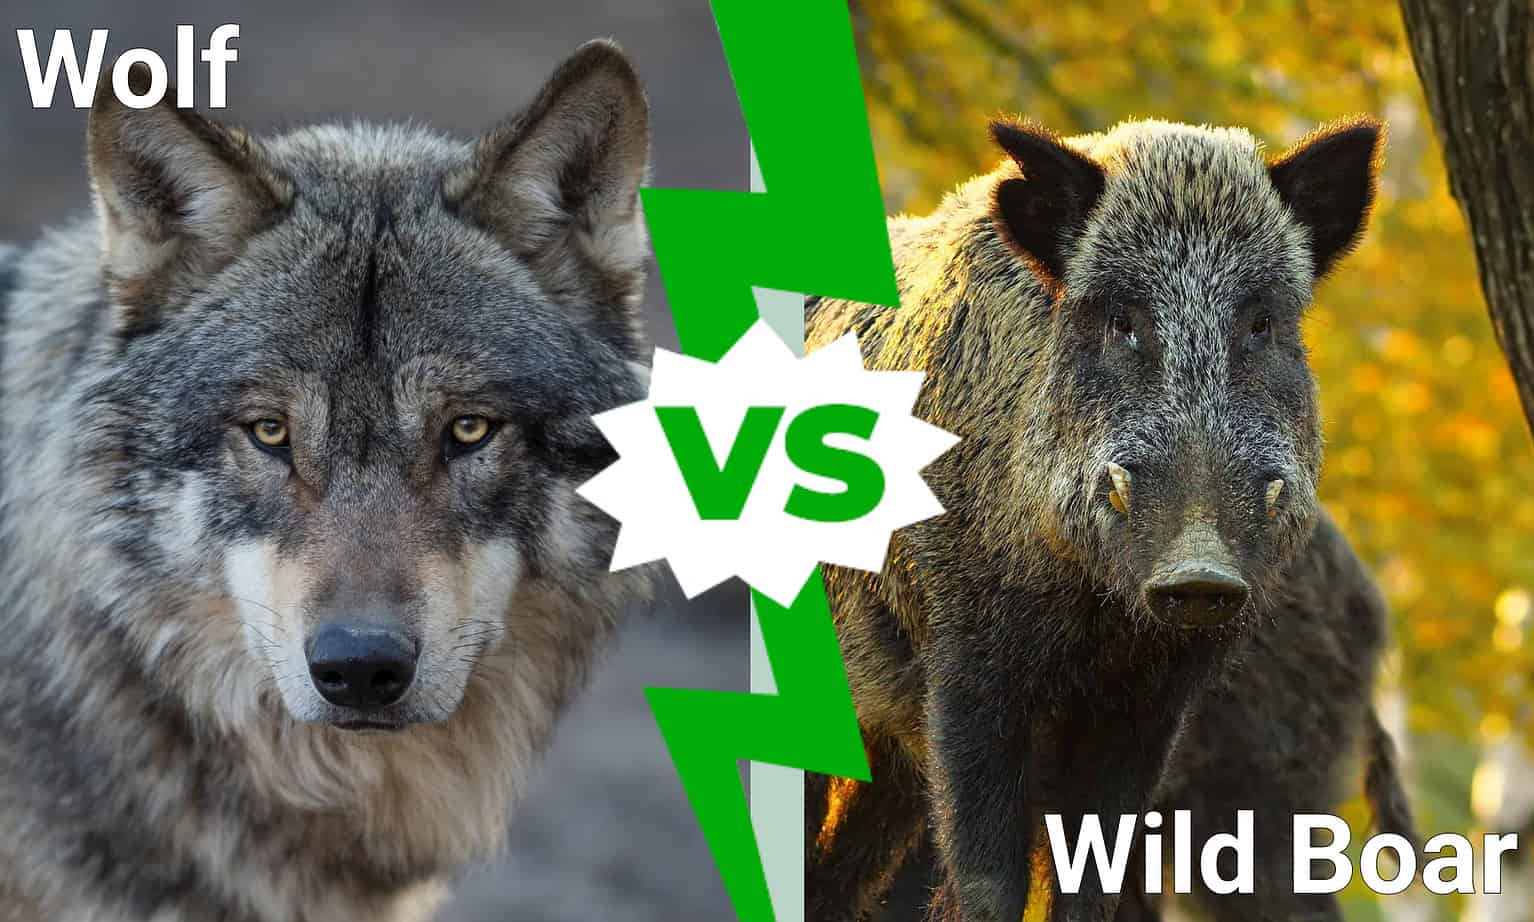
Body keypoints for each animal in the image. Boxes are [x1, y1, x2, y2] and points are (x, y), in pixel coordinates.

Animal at [803, 117, 1413, 922]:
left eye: (1262, 323)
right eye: (1121, 320)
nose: (1199, 567)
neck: (1095, 619)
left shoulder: (1155, 699)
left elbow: (1092, 885)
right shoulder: (962, 659)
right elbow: (988, 882)